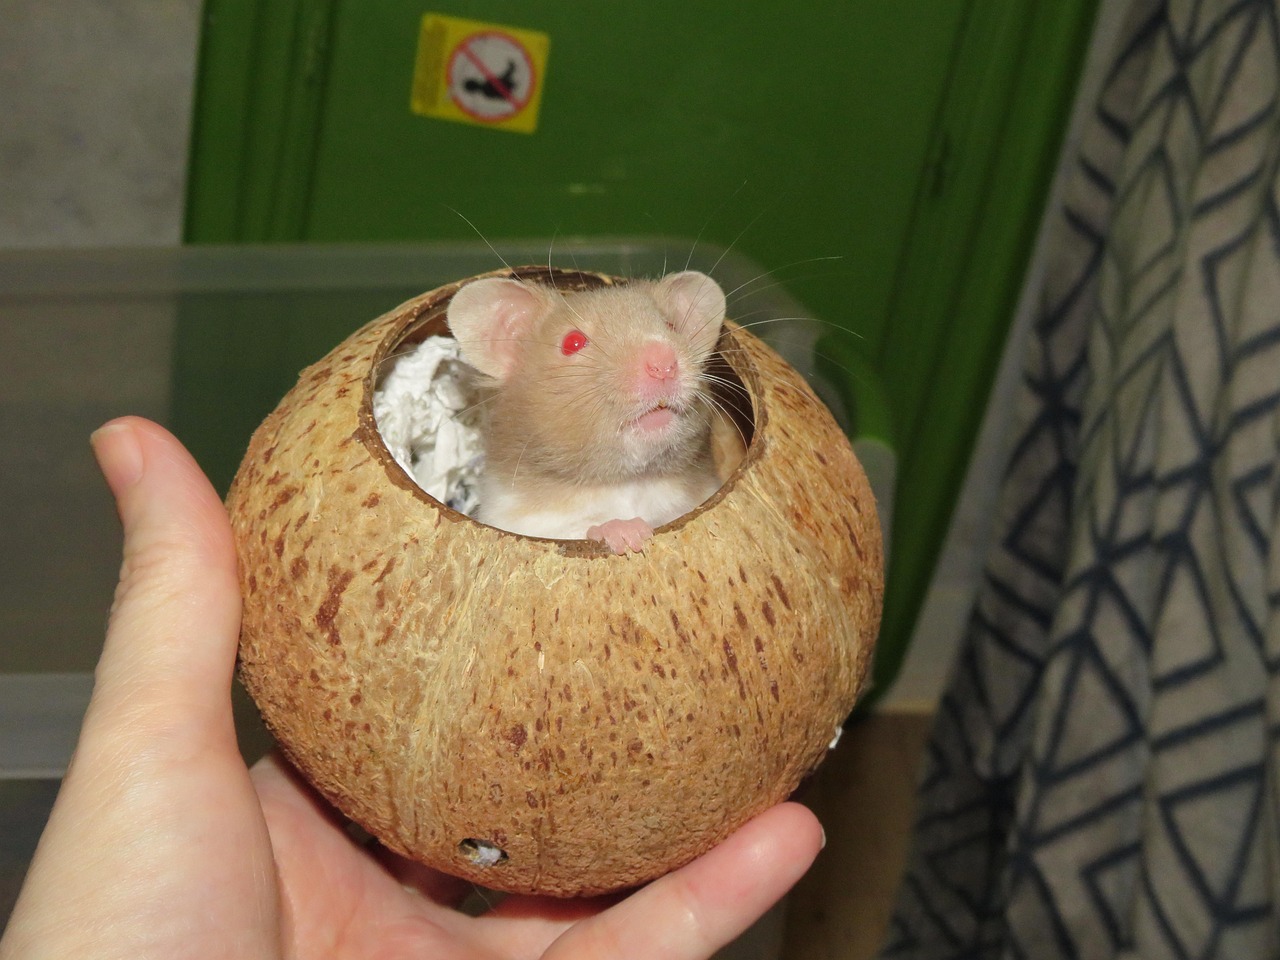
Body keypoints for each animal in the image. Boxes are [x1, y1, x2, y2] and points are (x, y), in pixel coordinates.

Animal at [447, 270, 741, 554]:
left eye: (671, 326)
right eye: (573, 343)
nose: (663, 364)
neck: (627, 482)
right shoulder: (521, 523)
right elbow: (583, 528)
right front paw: (630, 533)